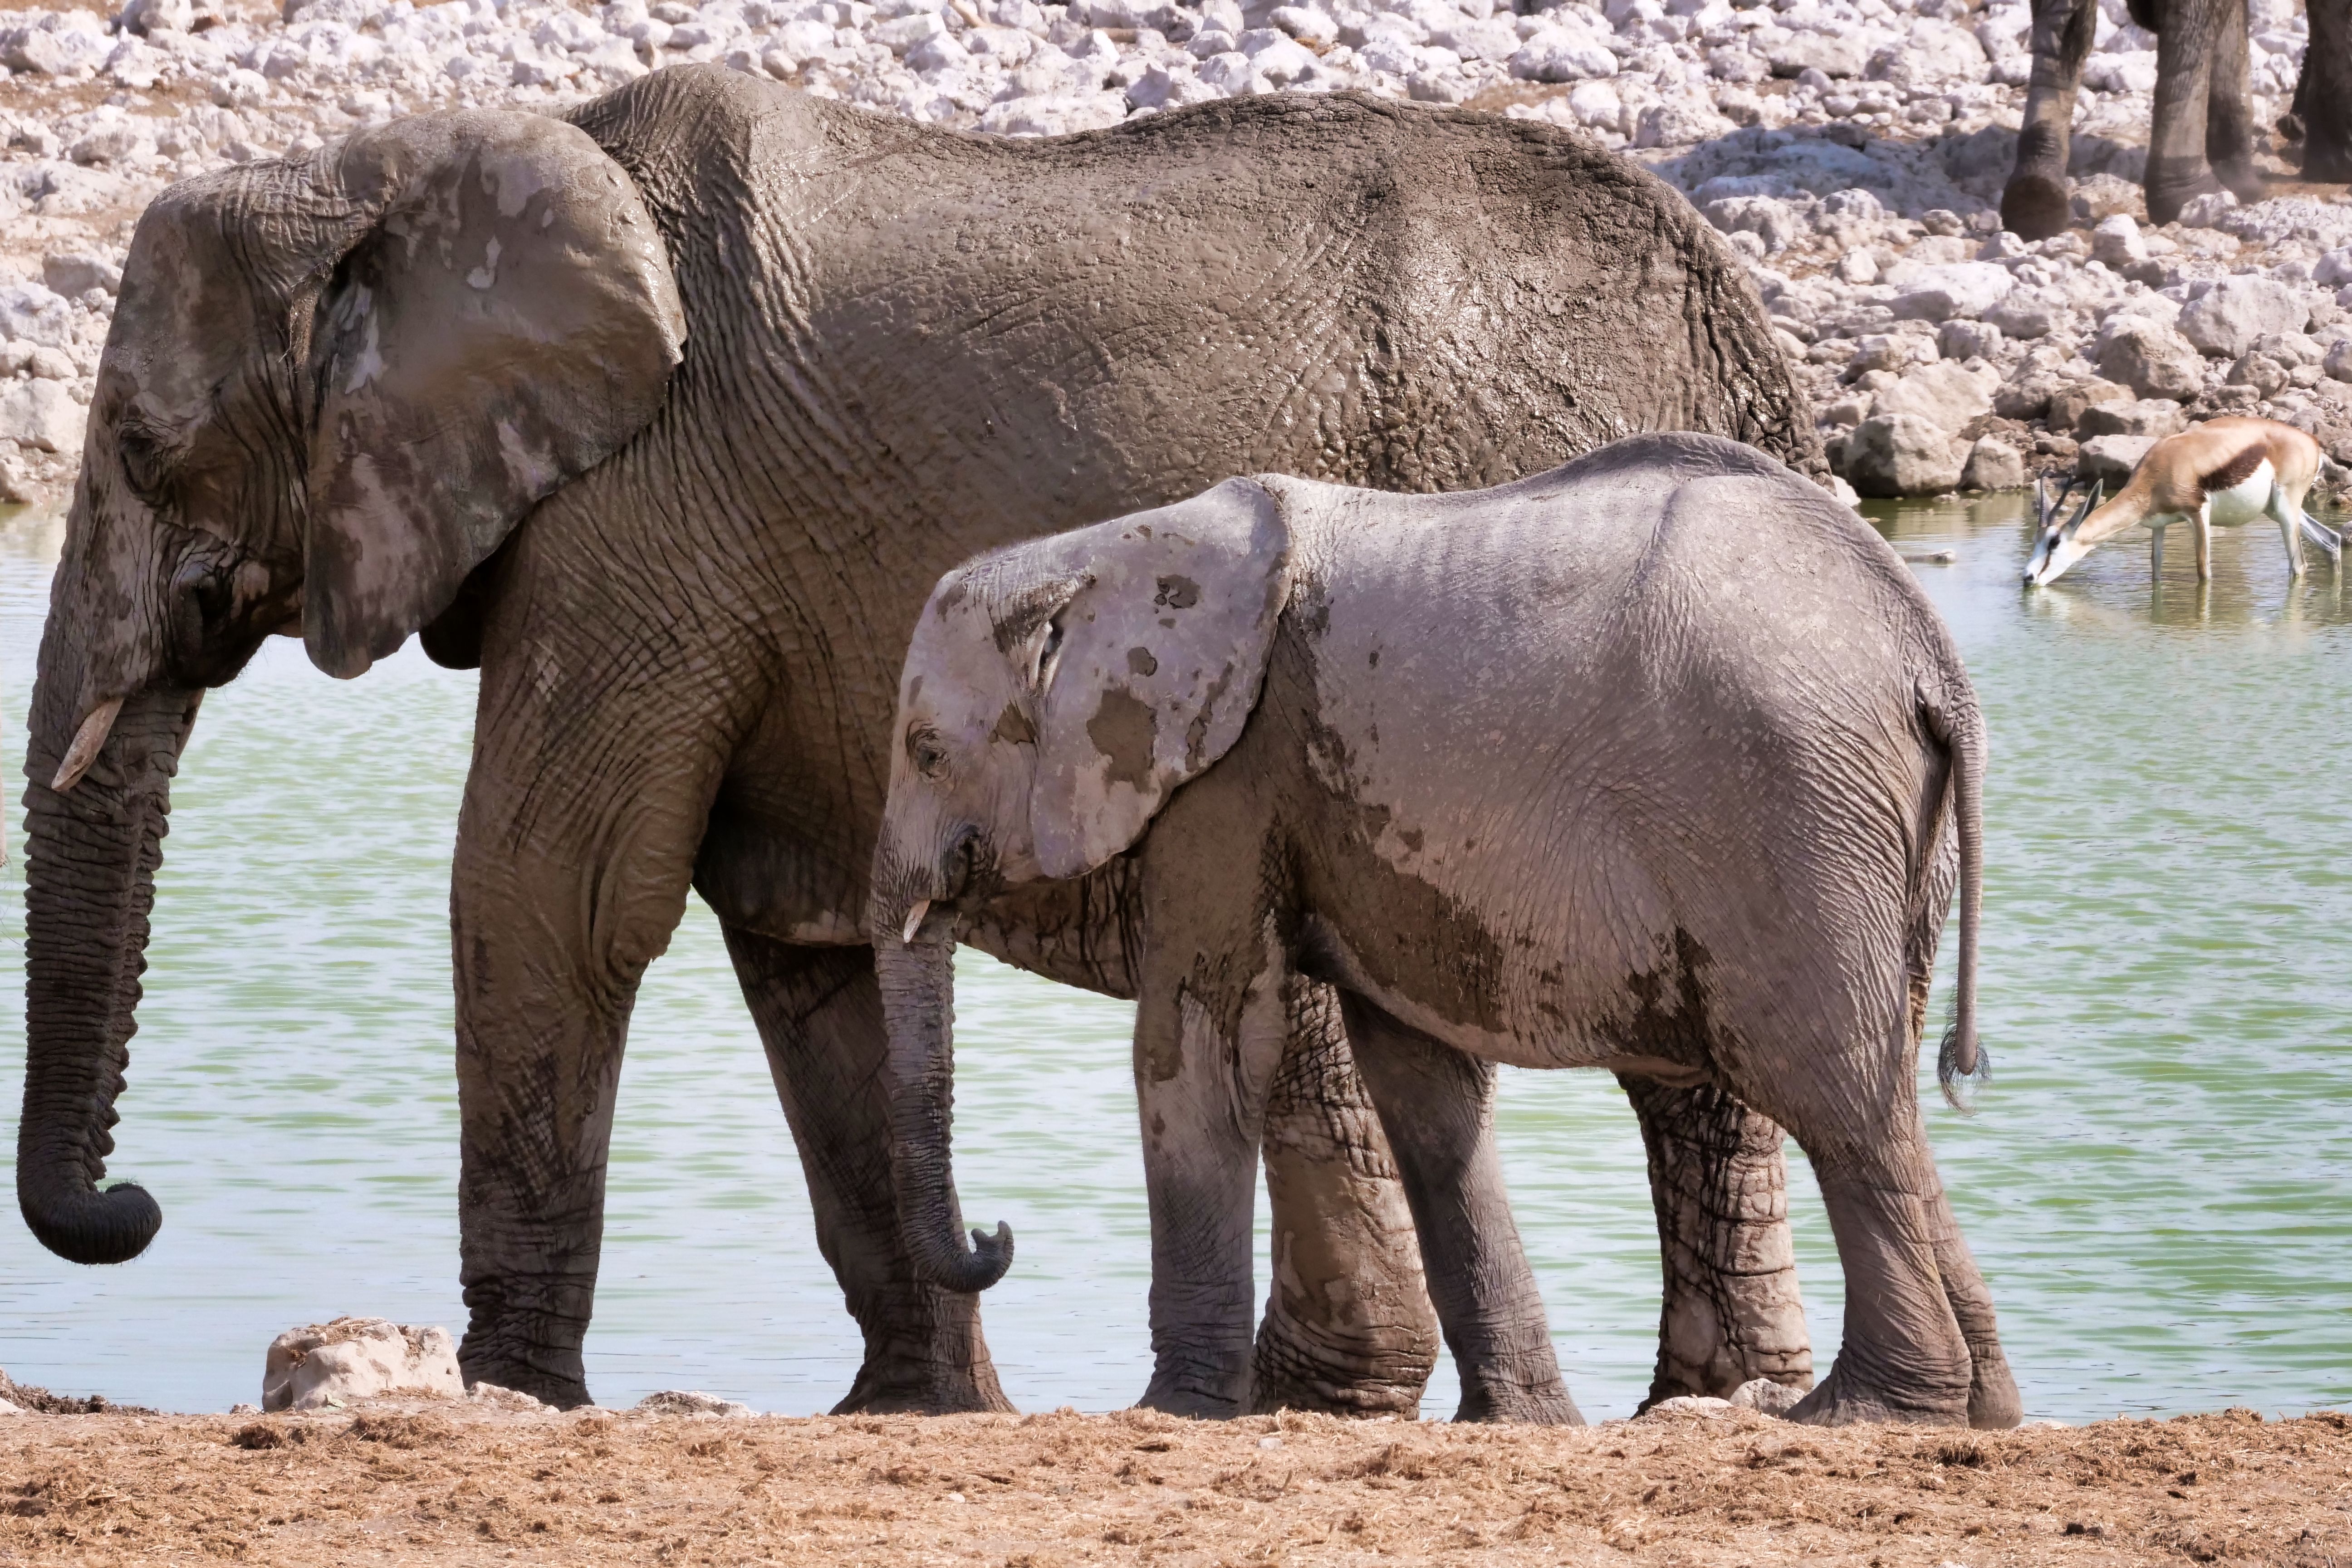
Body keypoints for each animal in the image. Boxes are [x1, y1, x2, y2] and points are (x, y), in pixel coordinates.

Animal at [20, 65, 1823, 1415]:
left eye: (141, 446)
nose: (133, 1210)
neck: (379, 172)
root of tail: (1749, 347)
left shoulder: (639, 517)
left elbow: (554, 895)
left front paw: (512, 1395)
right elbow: (797, 950)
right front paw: (917, 1409)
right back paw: (1704, 1400)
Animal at [867, 434, 2023, 1429]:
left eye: (925, 748)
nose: (996, 1230)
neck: (1096, 555)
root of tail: (1934, 663)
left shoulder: (1225, 770)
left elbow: (1198, 1042)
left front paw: (1173, 1411)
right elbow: (1420, 1084)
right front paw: (1519, 1421)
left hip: (1785, 807)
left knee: (1828, 1091)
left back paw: (1862, 1410)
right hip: (1870, 829)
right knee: (1886, 1096)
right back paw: (1979, 1410)